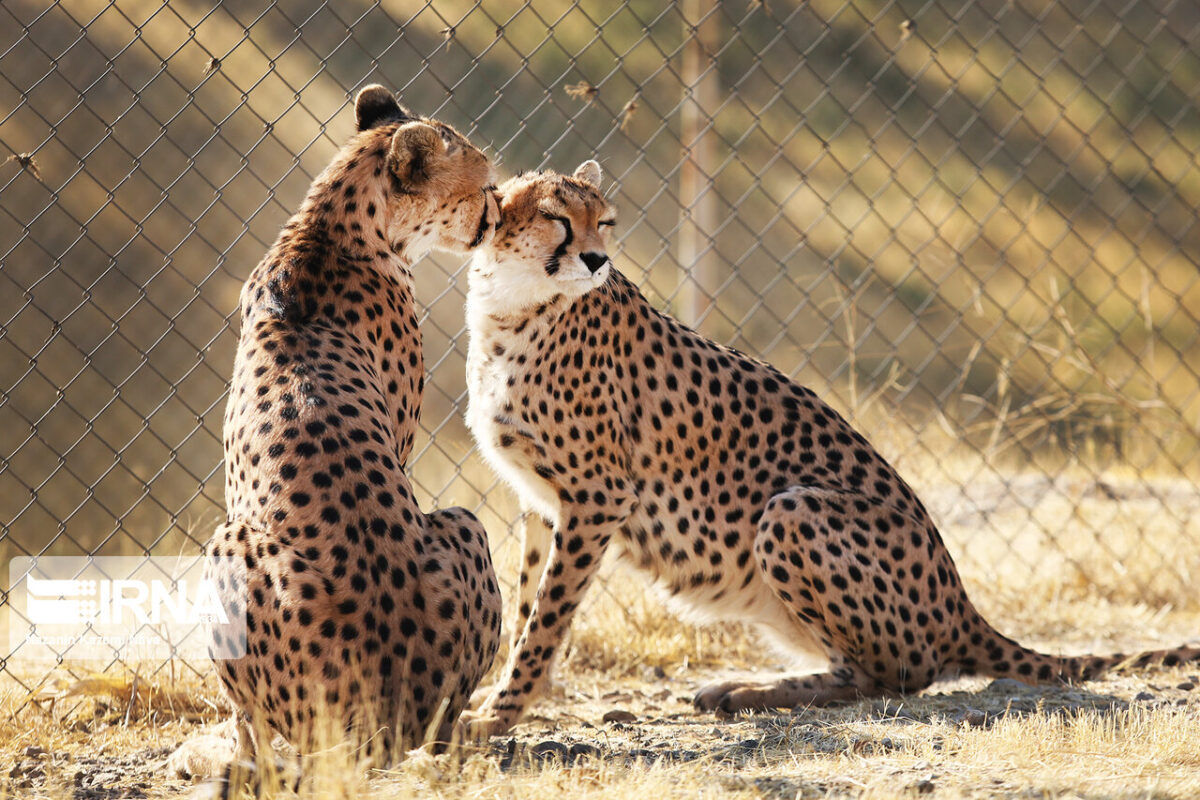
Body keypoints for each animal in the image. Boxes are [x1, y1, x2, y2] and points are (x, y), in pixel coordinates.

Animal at [460, 159, 1200, 736]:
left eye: (605, 222)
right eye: (557, 219)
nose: (596, 258)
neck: (512, 306)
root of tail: (963, 606)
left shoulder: (599, 497)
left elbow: (545, 617)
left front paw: (501, 714)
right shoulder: (546, 500)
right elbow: (527, 606)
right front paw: (499, 698)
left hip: (793, 510)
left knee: (894, 677)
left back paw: (751, 693)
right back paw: (748, 688)